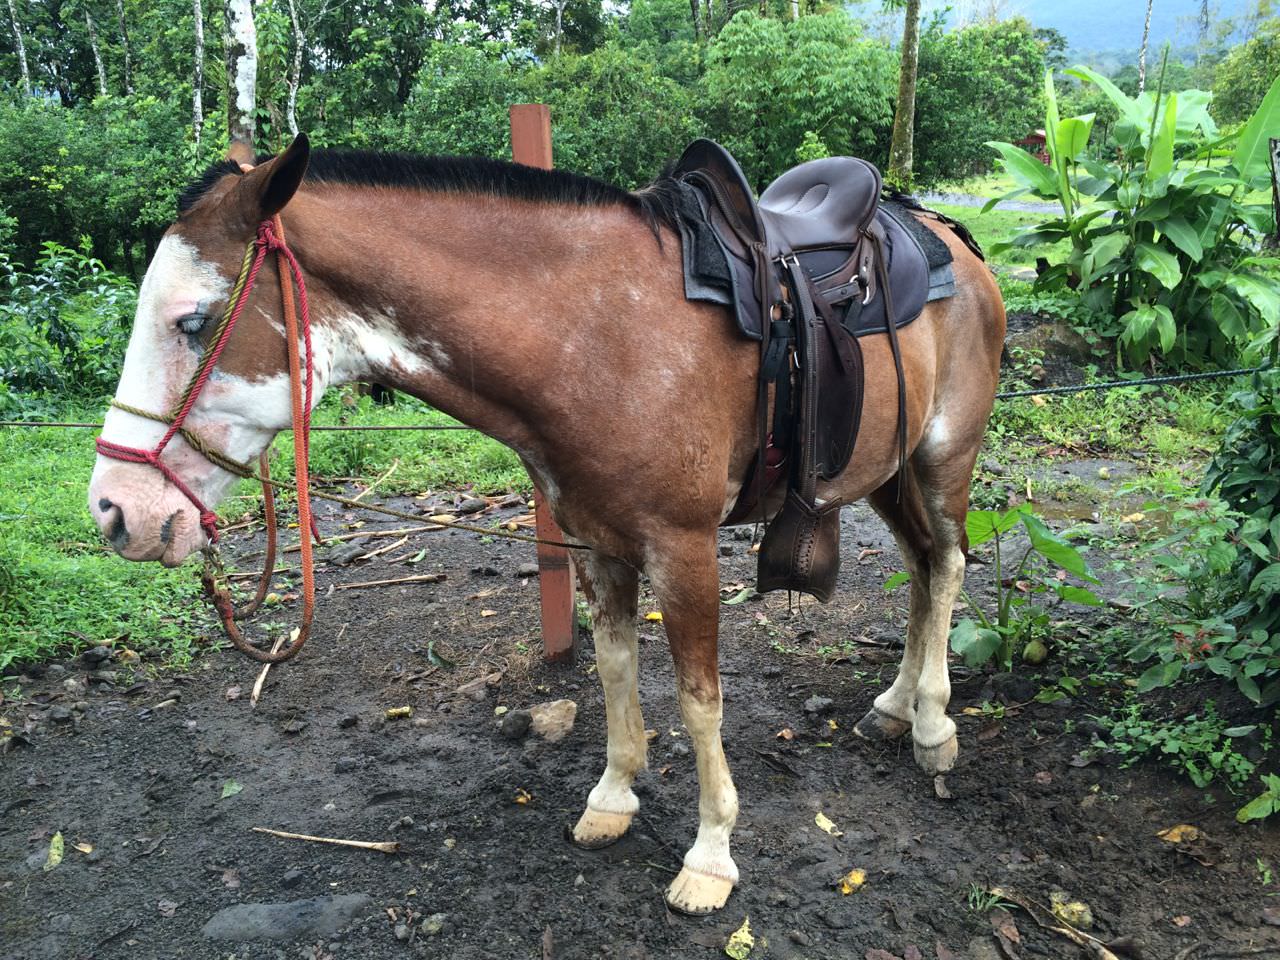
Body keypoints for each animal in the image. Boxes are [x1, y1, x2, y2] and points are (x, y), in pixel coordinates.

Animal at [88, 135, 1005, 915]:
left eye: (195, 320)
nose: (118, 512)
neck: (598, 335)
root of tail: (949, 237)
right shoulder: (597, 541)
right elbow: (613, 669)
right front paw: (614, 796)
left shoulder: (683, 550)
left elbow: (700, 701)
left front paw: (710, 855)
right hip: (884, 468)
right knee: (922, 569)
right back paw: (896, 706)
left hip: (941, 457)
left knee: (949, 564)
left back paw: (933, 724)